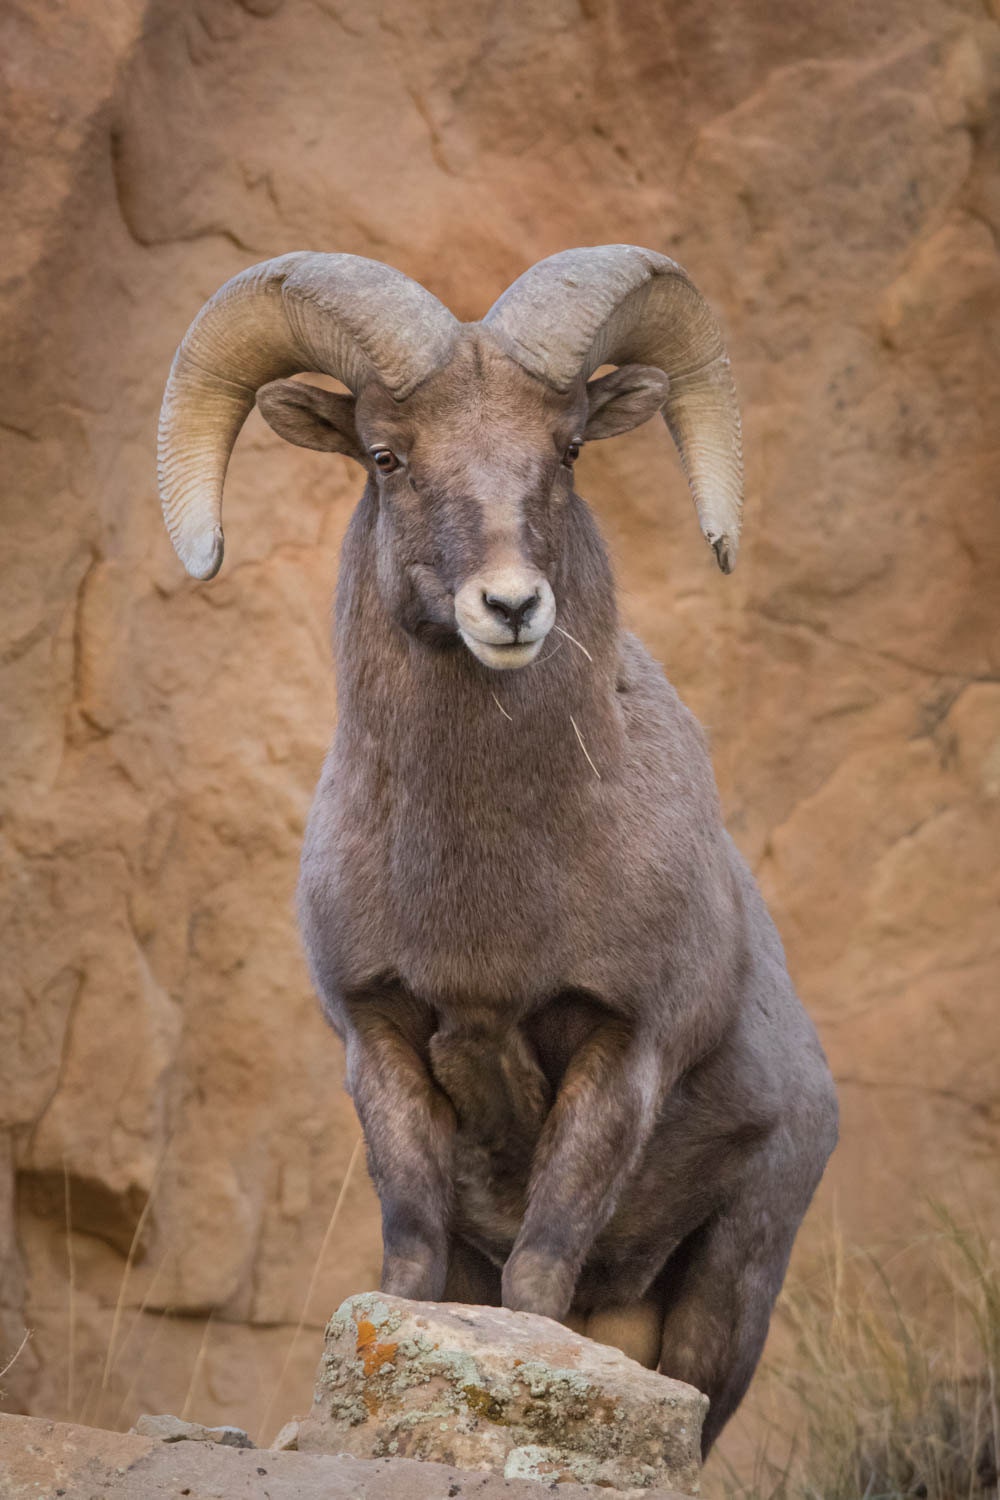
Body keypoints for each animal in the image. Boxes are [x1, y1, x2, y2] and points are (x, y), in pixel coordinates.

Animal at [157, 245, 838, 1454]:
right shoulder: (382, 1045)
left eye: (565, 449)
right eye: (386, 455)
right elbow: (412, 1264)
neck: (489, 886)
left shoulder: (620, 1057)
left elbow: (539, 1274)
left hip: (730, 1292)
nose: (512, 607)